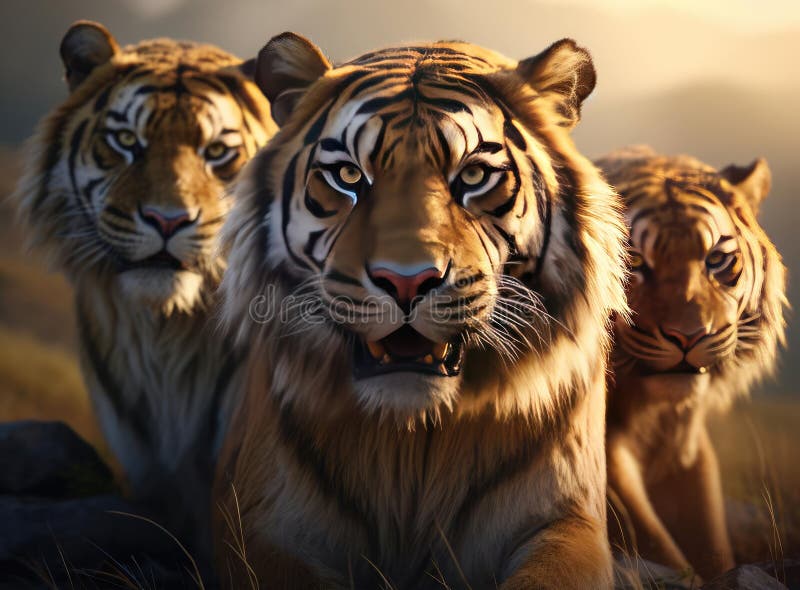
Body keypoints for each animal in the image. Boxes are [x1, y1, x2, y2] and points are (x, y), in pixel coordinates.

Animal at [213, 32, 628, 589]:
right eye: (348, 175)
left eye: (473, 175)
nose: (406, 281)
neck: (412, 441)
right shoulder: (260, 525)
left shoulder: (567, 517)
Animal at [597, 146, 787, 581]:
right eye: (635, 261)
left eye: (716, 260)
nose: (689, 336)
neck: (648, 410)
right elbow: (655, 545)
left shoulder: (682, 451)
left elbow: (709, 542)